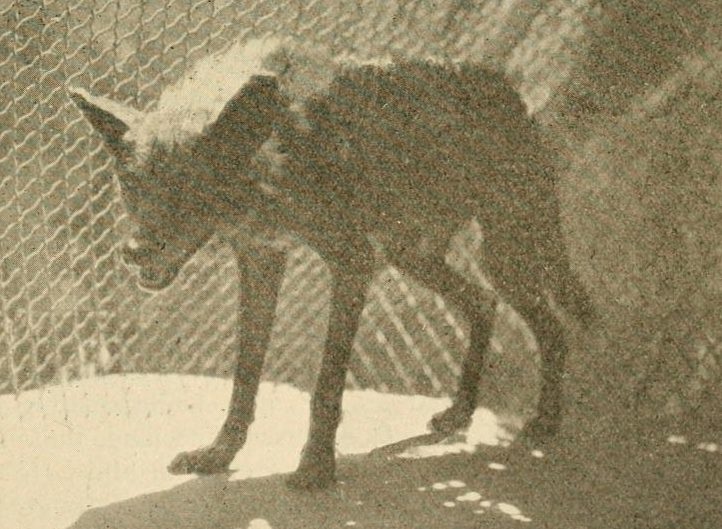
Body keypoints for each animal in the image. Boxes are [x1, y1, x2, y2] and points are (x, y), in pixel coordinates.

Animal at [70, 37, 593, 489]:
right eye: (131, 185)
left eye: (187, 190)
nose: (135, 251)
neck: (272, 149)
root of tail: (510, 91)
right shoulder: (260, 262)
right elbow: (244, 381)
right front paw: (219, 454)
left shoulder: (352, 263)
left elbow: (325, 389)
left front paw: (317, 467)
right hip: (413, 256)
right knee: (482, 303)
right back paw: (459, 413)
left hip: (505, 259)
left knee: (553, 329)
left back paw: (545, 420)